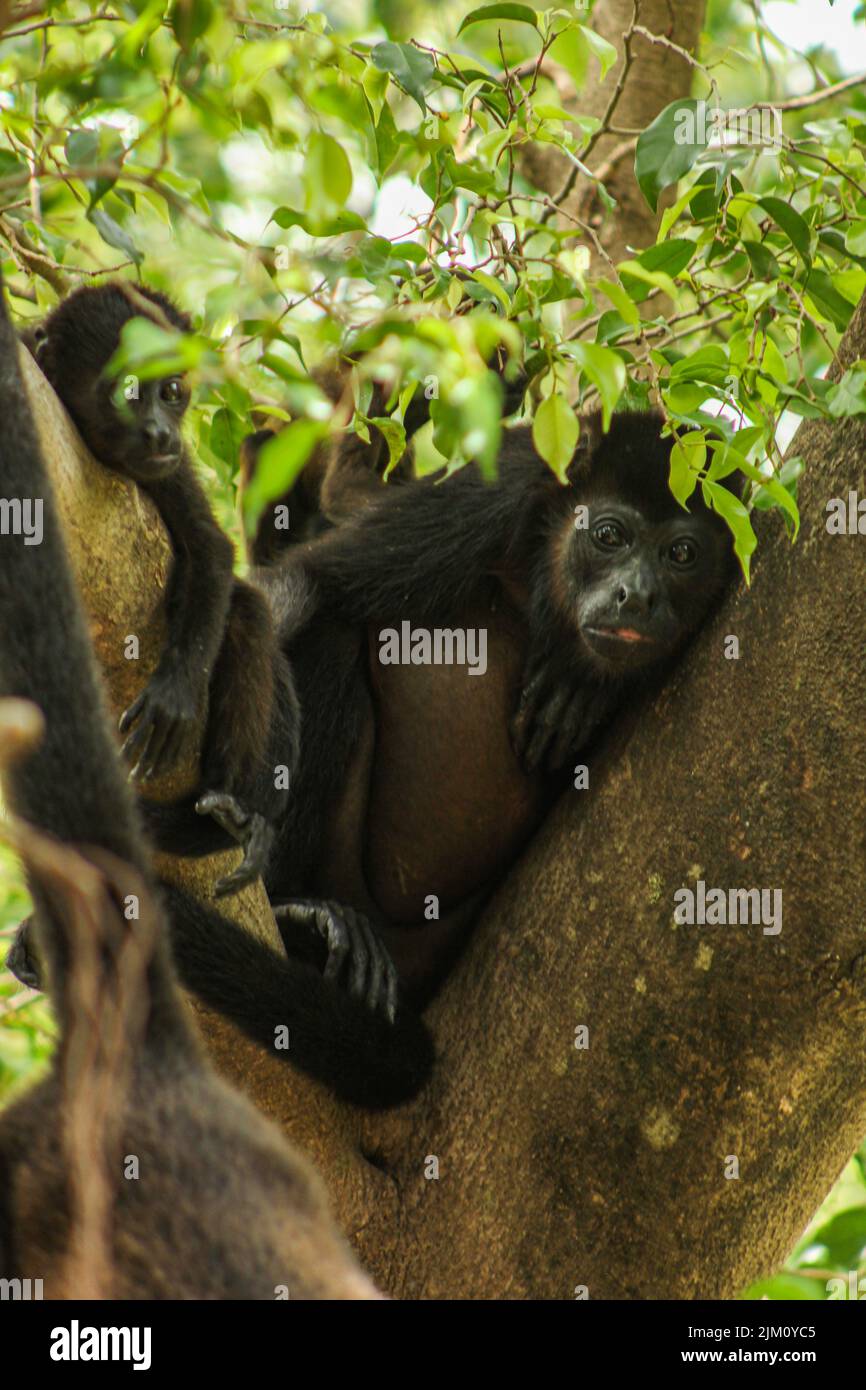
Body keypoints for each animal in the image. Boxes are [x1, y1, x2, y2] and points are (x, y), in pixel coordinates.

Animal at [23, 282, 294, 895]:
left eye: (171, 391)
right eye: (127, 391)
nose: (160, 431)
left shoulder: (169, 465)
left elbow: (212, 549)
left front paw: (174, 694)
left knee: (247, 612)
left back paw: (229, 816)